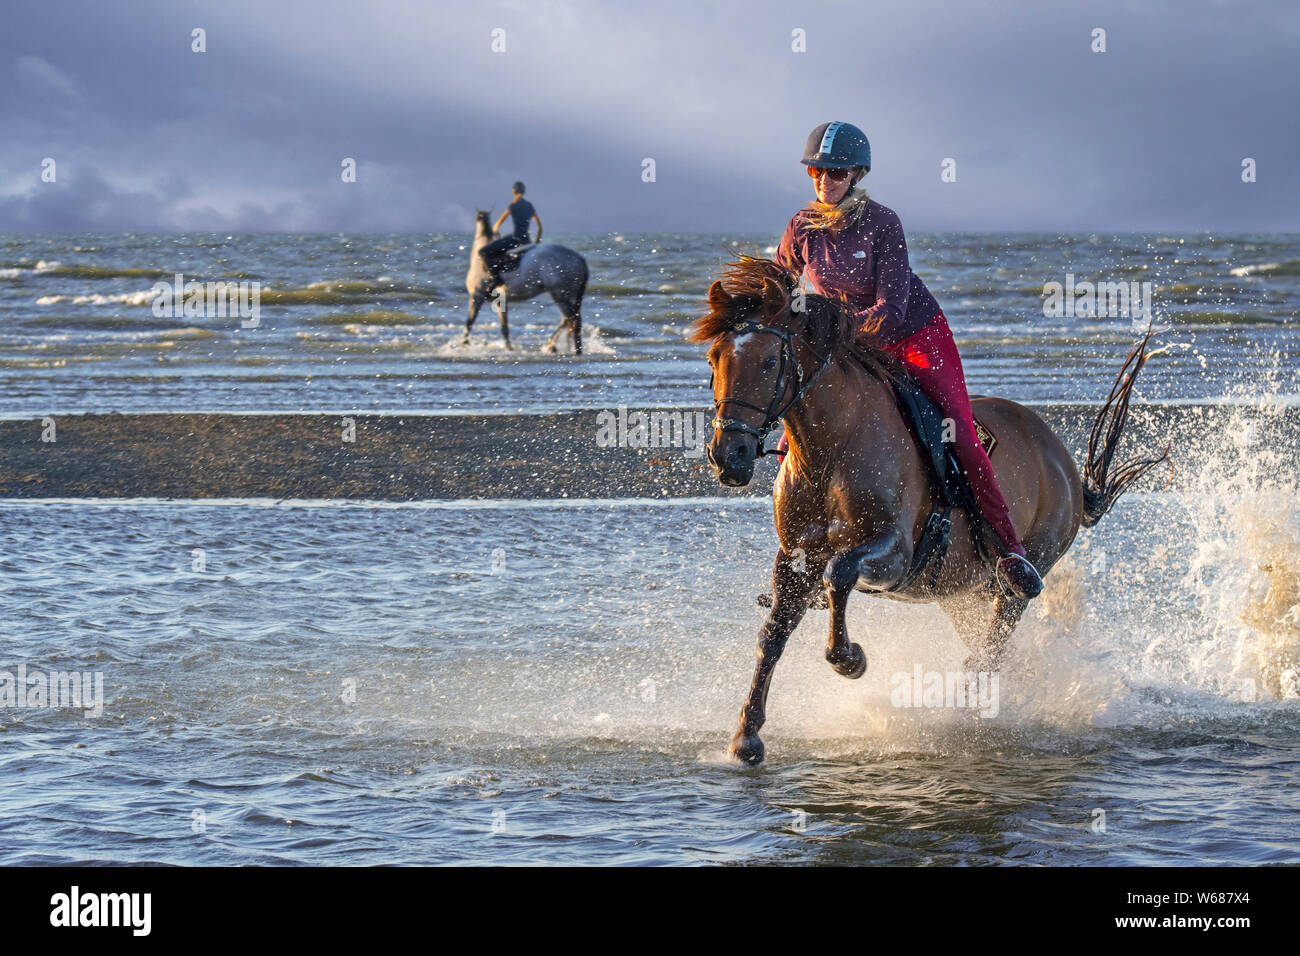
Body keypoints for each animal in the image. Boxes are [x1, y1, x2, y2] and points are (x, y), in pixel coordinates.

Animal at [465, 210, 589, 353]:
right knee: (569, 319)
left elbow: (469, 322)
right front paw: (509, 348)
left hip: (561, 295)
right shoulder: (500, 301)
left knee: (572, 320)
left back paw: (569, 349)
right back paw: (556, 346)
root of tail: (579, 258)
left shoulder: (477, 296)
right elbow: (504, 327)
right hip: (567, 296)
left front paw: (463, 343)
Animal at [693, 256, 1169, 766]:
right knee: (988, 651)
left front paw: (851, 660)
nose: (729, 456)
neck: (831, 450)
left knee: (990, 650)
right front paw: (746, 737)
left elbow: (840, 574)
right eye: (714, 359)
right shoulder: (795, 559)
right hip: (962, 593)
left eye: (768, 361)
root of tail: (1062, 460)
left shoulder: (894, 553)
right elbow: (772, 635)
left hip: (1022, 575)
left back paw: (965, 717)